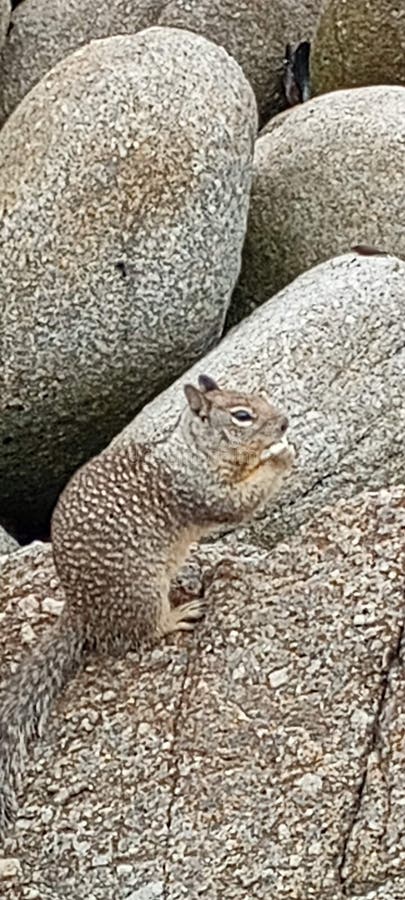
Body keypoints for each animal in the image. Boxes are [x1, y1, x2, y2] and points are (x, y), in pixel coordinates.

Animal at [0, 375, 294, 836]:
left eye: (258, 399)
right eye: (242, 415)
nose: (283, 422)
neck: (190, 450)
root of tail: (80, 610)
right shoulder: (200, 490)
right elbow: (238, 503)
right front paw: (280, 455)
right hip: (142, 591)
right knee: (145, 629)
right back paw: (179, 614)